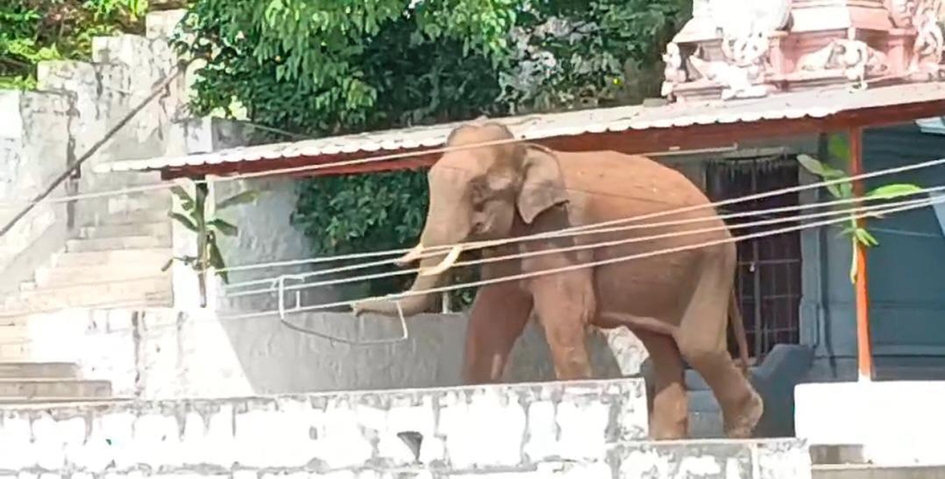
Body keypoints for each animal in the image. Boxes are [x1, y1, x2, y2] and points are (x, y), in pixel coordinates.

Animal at [351, 120, 763, 440]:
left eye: (479, 190)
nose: (355, 309)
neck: (528, 150)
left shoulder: (564, 231)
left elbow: (564, 314)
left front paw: (583, 398)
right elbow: (492, 315)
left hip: (712, 264)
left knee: (698, 346)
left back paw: (743, 428)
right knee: (663, 347)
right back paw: (665, 443)